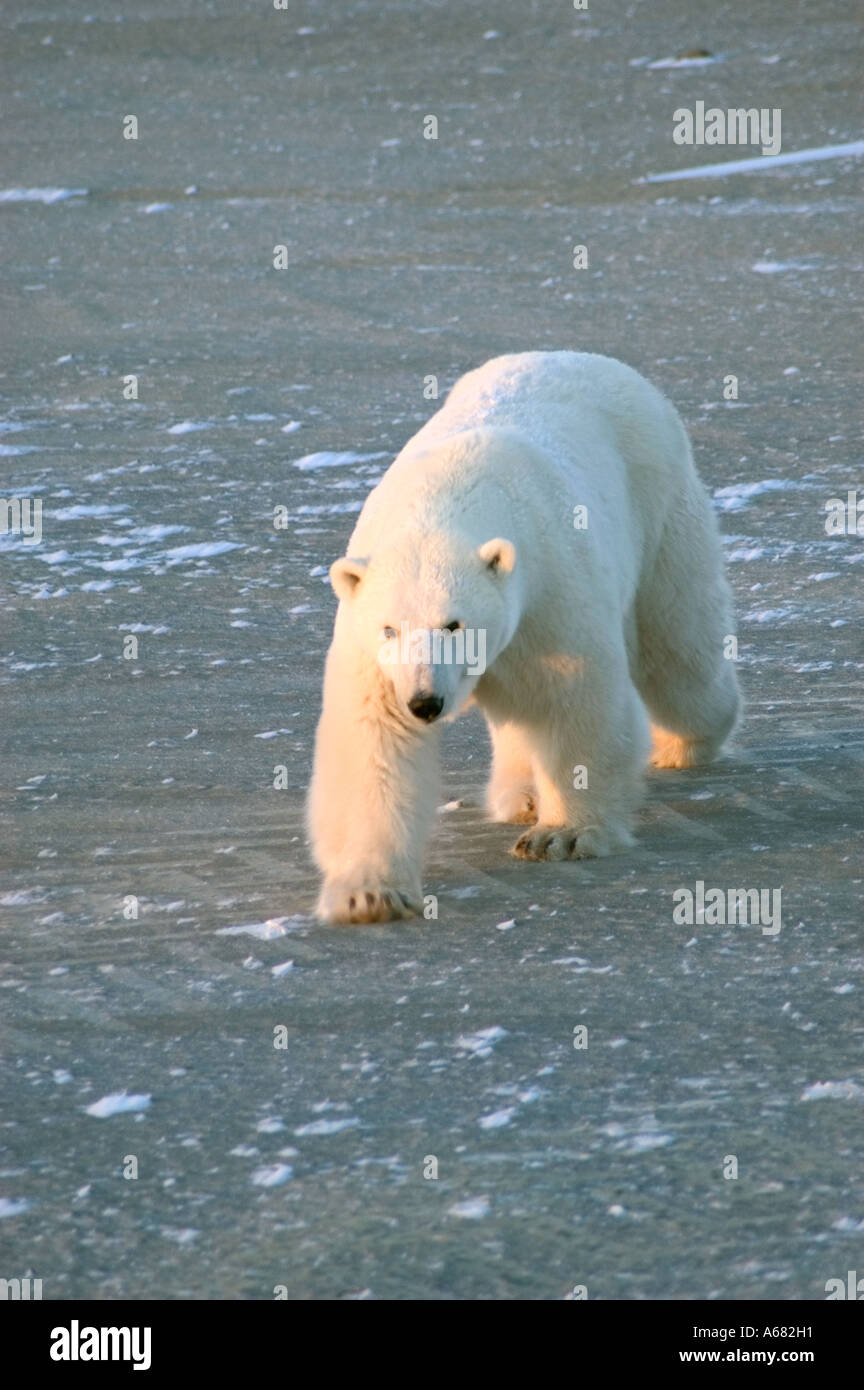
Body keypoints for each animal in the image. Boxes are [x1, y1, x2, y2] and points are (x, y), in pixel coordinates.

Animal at [307, 351, 740, 924]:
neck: (445, 496)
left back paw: (683, 743)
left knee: (676, 650)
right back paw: (521, 794)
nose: (424, 702)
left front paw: (561, 836)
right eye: (389, 628)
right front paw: (369, 894)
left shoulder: (548, 587)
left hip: (660, 508)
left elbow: (576, 701)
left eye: (454, 623)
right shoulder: (372, 651)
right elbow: (373, 741)